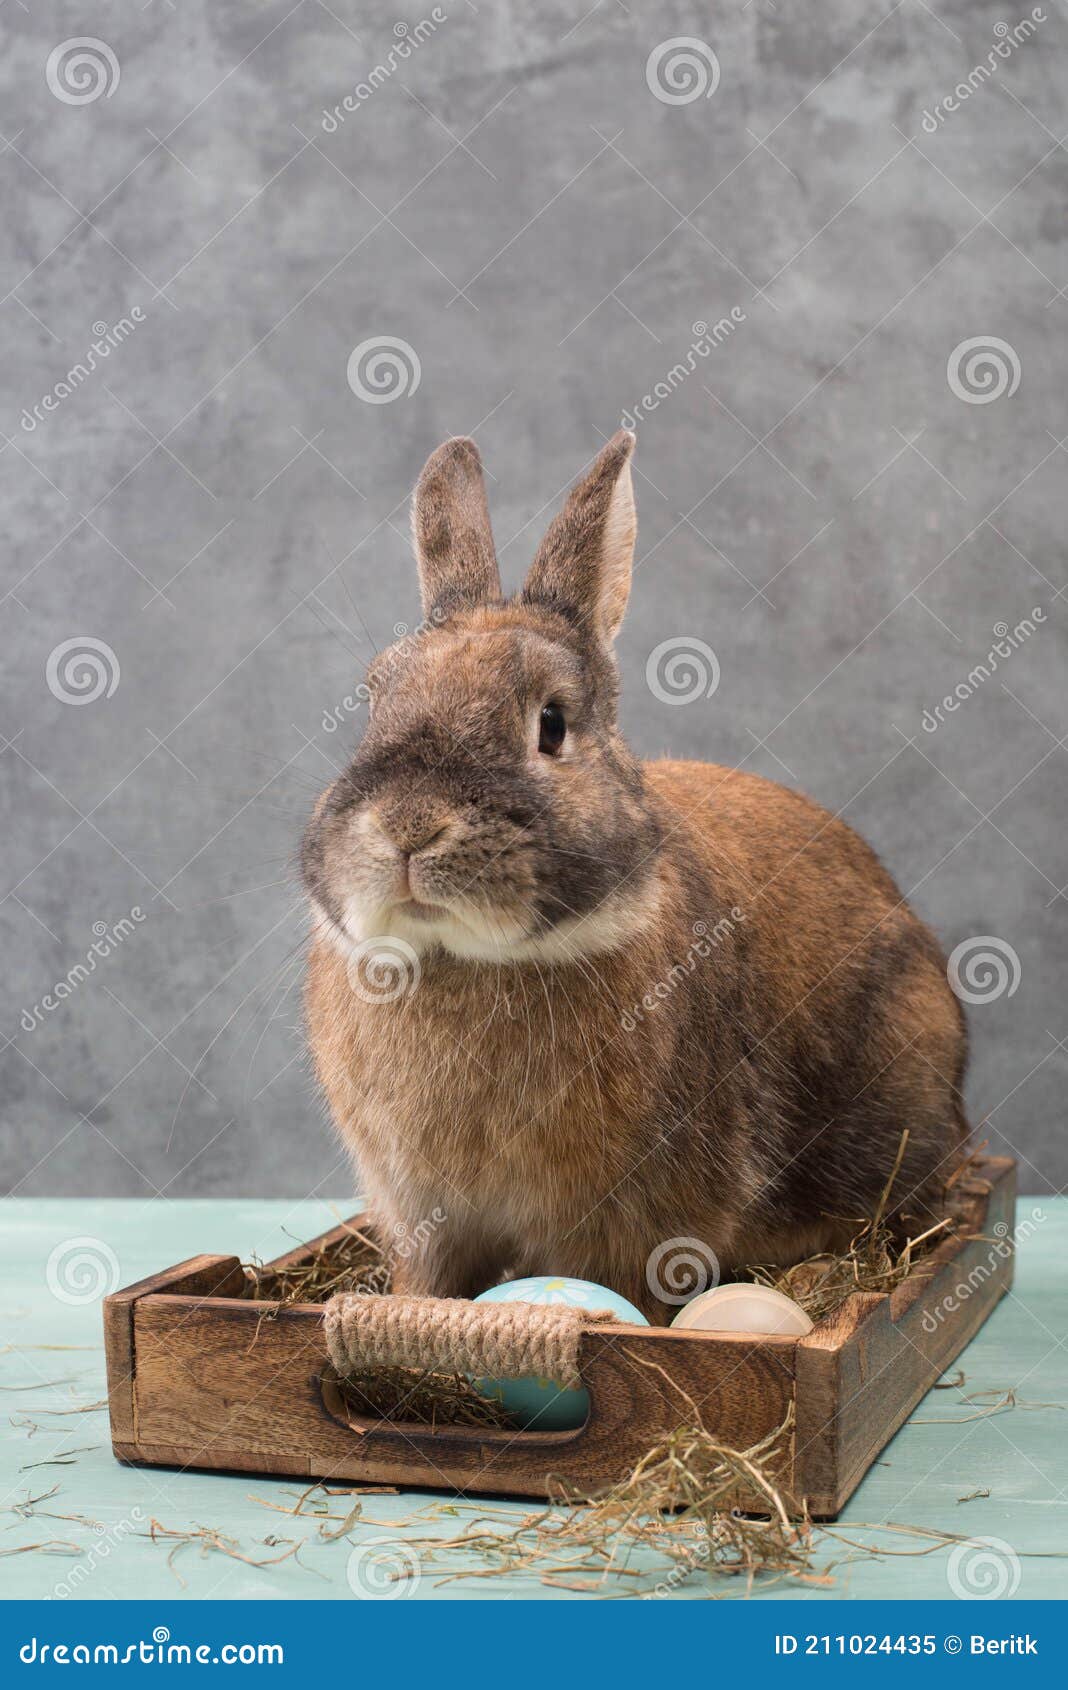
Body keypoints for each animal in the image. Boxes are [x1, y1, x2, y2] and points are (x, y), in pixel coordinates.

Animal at [302, 430, 969, 1323]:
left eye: (551, 724)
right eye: (375, 702)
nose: (408, 825)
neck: (467, 961)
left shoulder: (646, 1213)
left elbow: (635, 1291)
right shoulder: (419, 1209)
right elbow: (429, 1281)